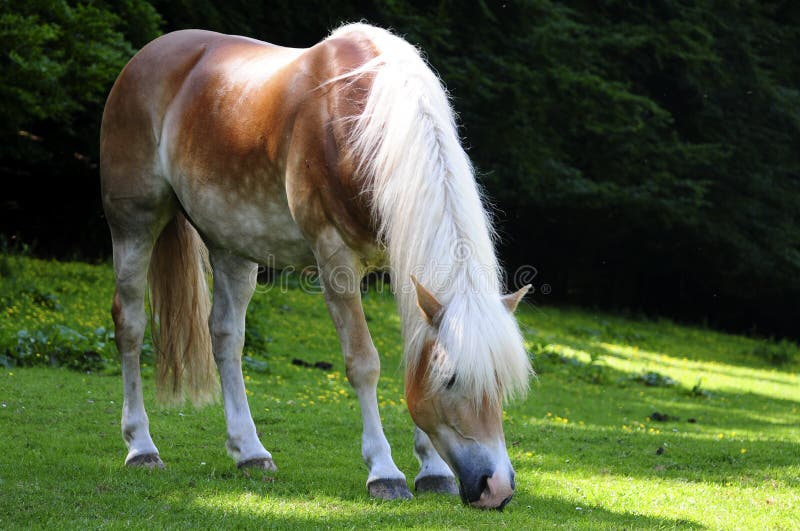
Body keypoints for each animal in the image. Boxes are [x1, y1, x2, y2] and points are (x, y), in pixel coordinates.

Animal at [100, 23, 532, 510]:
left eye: (499, 382)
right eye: (452, 380)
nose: (496, 489)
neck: (361, 125)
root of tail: (147, 56)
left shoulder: (404, 270)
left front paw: (432, 471)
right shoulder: (336, 265)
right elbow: (363, 363)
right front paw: (384, 472)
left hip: (232, 247)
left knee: (226, 336)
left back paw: (250, 452)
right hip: (134, 224)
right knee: (130, 324)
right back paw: (141, 447)